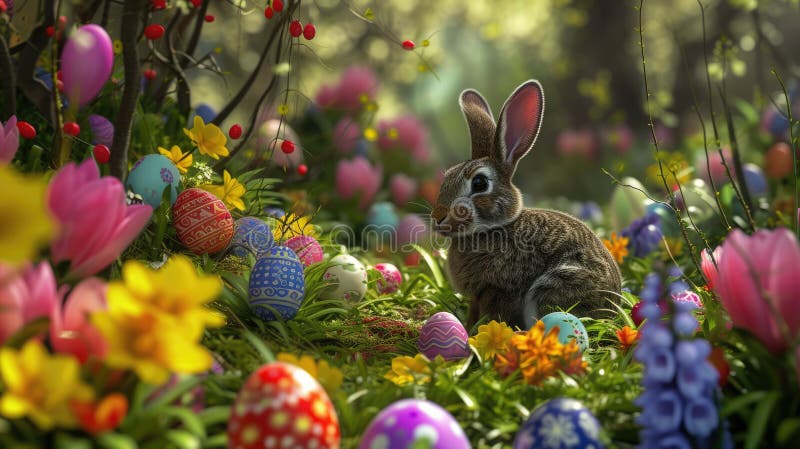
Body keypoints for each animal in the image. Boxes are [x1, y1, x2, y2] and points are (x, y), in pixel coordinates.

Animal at [431, 80, 622, 330]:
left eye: (480, 183)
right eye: (448, 176)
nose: (437, 217)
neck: (492, 229)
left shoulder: (499, 290)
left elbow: (494, 317)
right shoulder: (477, 297)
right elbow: (474, 314)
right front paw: (467, 327)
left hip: (553, 287)